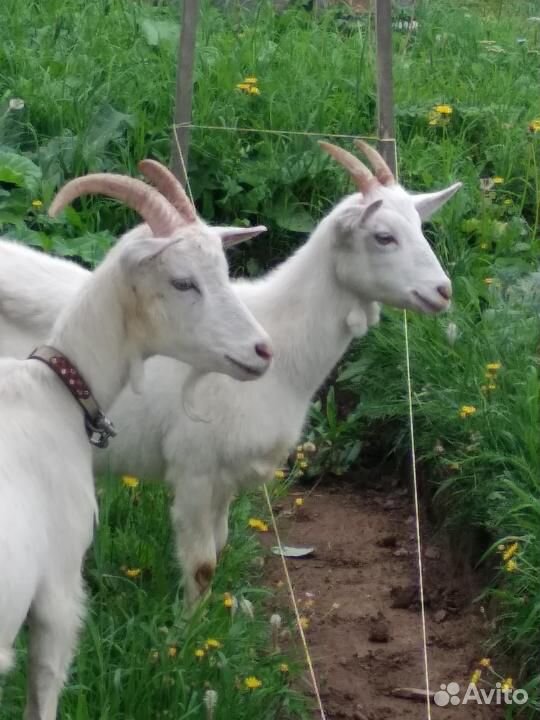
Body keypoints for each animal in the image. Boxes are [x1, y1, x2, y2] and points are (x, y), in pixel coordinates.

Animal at [0, 142, 461, 607]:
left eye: (420, 227)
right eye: (383, 236)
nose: (443, 291)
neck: (285, 344)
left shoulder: (226, 477)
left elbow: (221, 544)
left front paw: (224, 611)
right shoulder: (195, 469)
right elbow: (203, 563)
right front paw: (190, 623)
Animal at [0, 169, 272, 720]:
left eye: (225, 270)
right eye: (183, 281)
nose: (262, 350)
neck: (52, 389)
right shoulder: (59, 588)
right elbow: (44, 690)